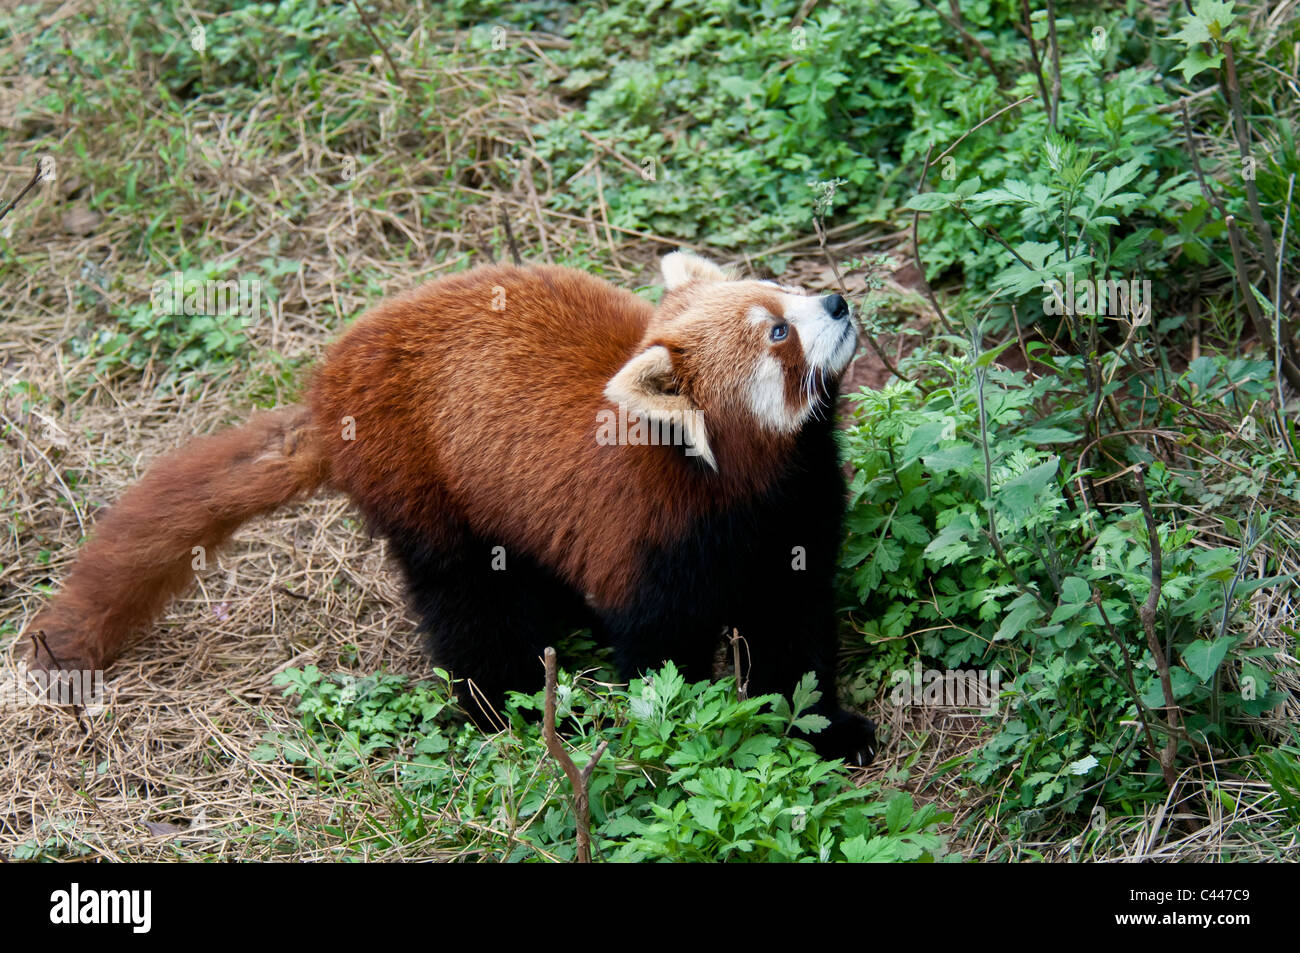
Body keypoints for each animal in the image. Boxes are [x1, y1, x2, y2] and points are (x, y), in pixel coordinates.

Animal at [23, 251, 877, 765]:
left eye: (788, 289)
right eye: (778, 333)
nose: (838, 300)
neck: (746, 489)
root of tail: (327, 391)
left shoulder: (795, 523)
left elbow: (795, 634)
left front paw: (825, 729)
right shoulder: (649, 542)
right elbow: (659, 652)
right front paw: (679, 733)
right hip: (422, 484)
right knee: (470, 608)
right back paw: (516, 709)